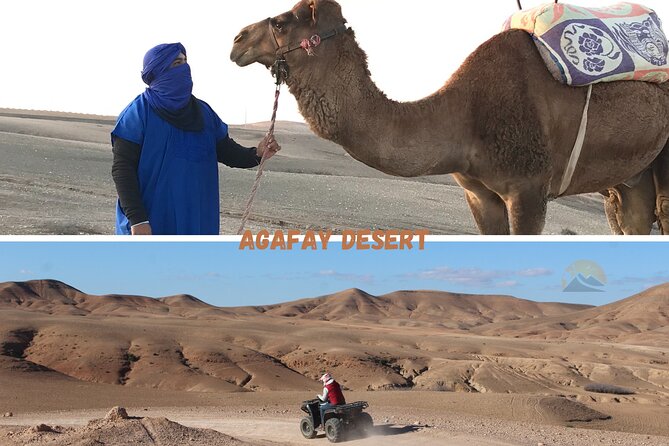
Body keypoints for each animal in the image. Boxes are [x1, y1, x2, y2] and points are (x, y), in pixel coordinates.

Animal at [230, 0, 669, 235]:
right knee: (630, 216)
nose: (236, 40)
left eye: (281, 22)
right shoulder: (478, 193)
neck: (465, 117)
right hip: (628, 178)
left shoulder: (529, 189)